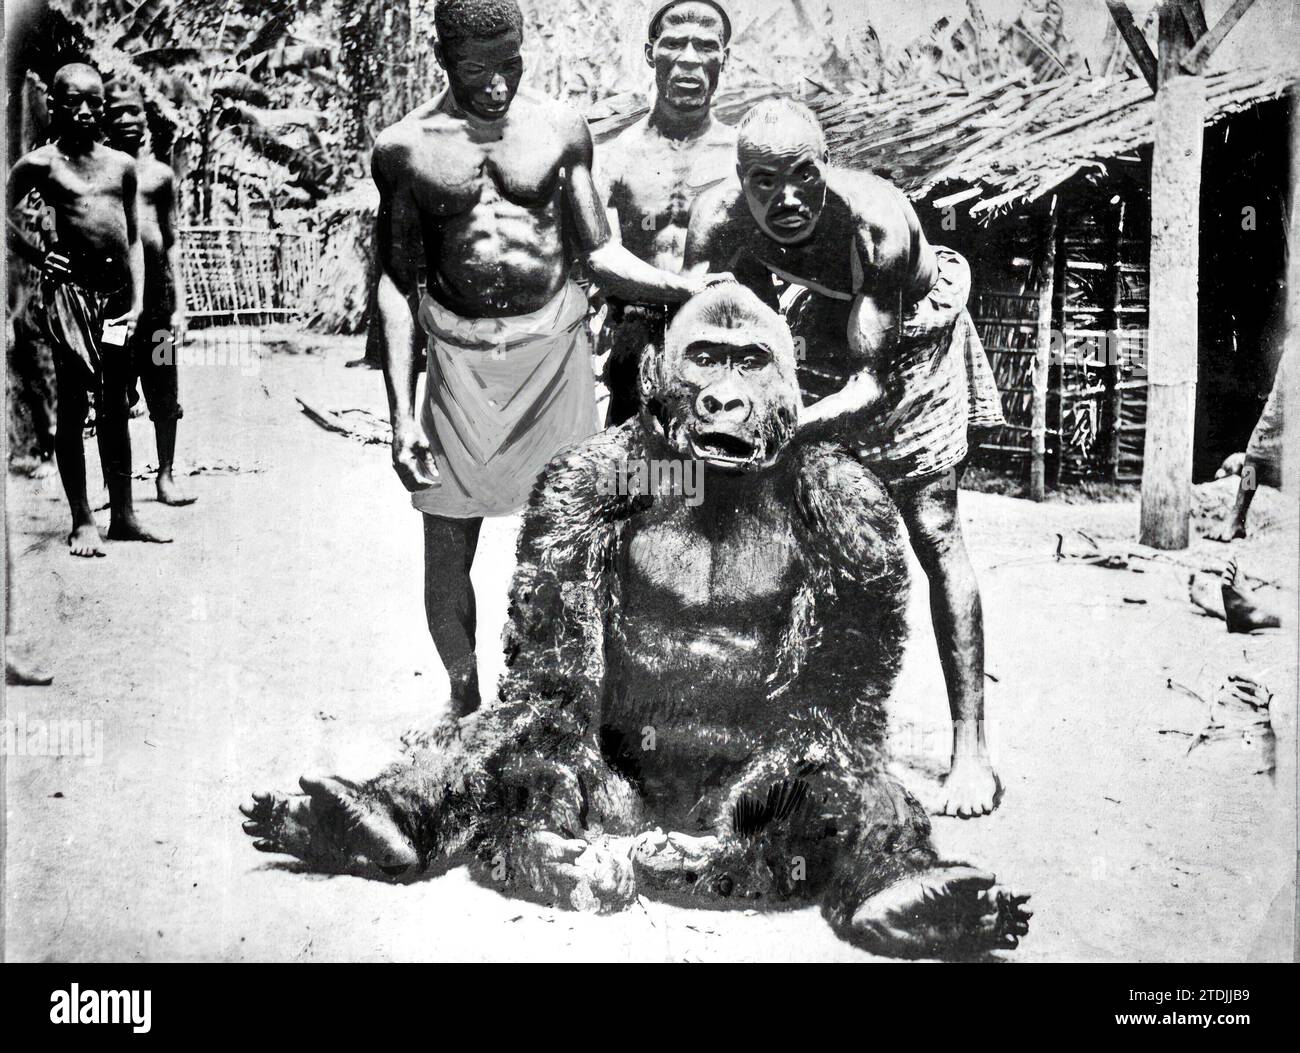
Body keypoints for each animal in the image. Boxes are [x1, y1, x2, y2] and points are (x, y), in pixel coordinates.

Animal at [240, 284, 1030, 958]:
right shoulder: (577, 484)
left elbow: (835, 710)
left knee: (841, 763)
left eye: (751, 361)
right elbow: (548, 684)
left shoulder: (854, 509)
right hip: (616, 809)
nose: (723, 400)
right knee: (526, 726)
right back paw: (378, 824)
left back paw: (911, 898)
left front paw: (757, 846)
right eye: (705, 356)